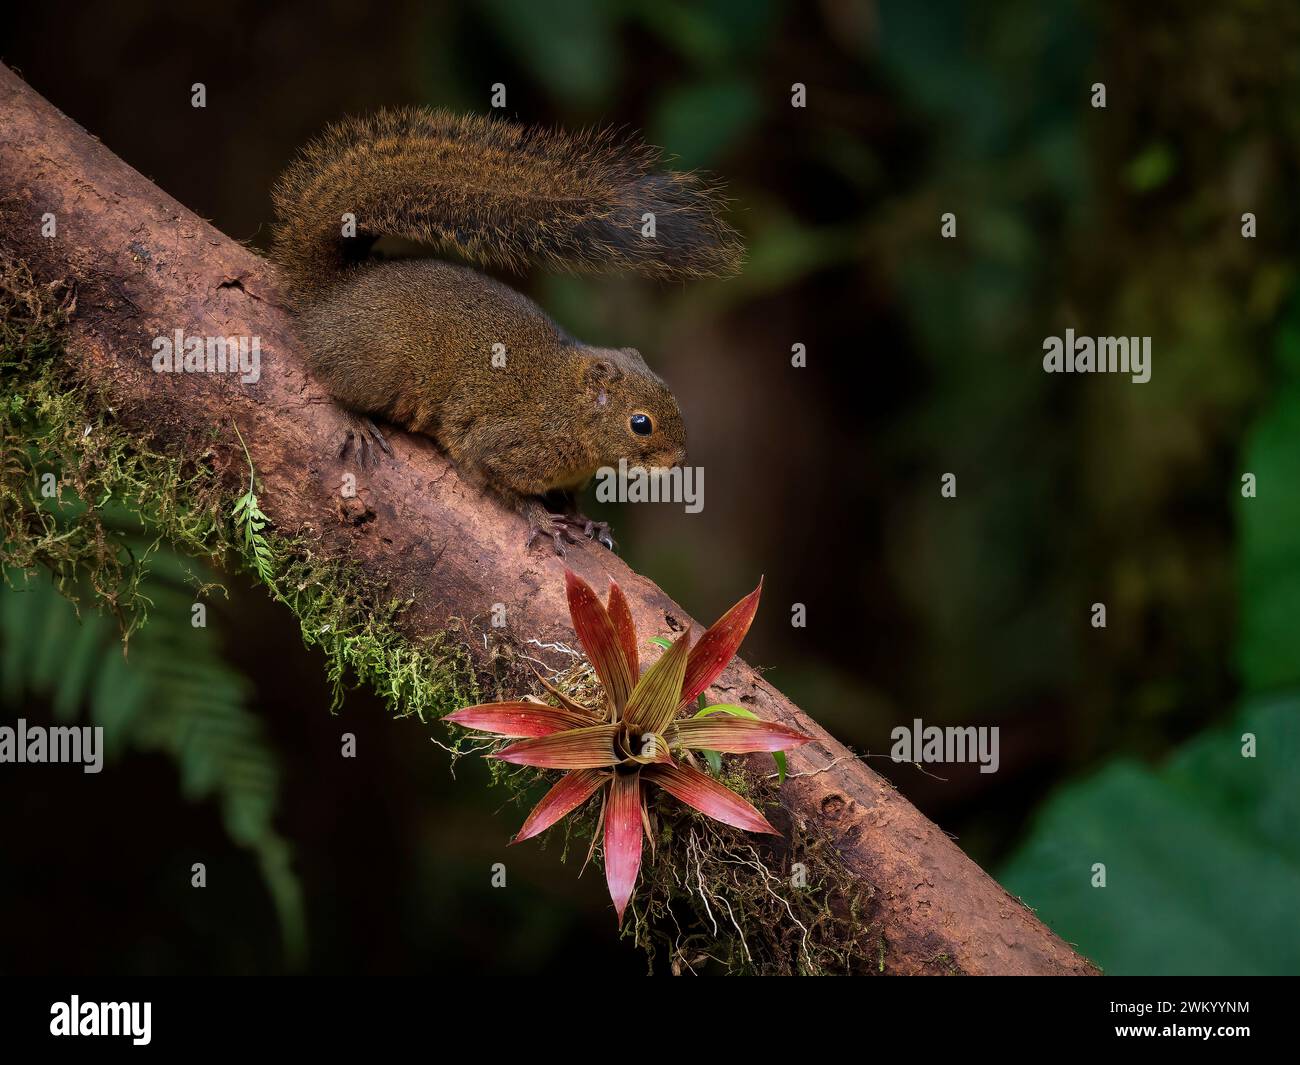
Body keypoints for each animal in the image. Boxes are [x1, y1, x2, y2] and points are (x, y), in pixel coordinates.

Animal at [270, 107, 742, 553]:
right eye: (640, 424)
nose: (678, 461)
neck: (567, 407)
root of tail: (330, 295)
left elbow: (570, 500)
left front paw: (590, 522)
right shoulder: (501, 446)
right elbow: (503, 485)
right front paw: (543, 519)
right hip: (377, 370)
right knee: (337, 387)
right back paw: (358, 421)